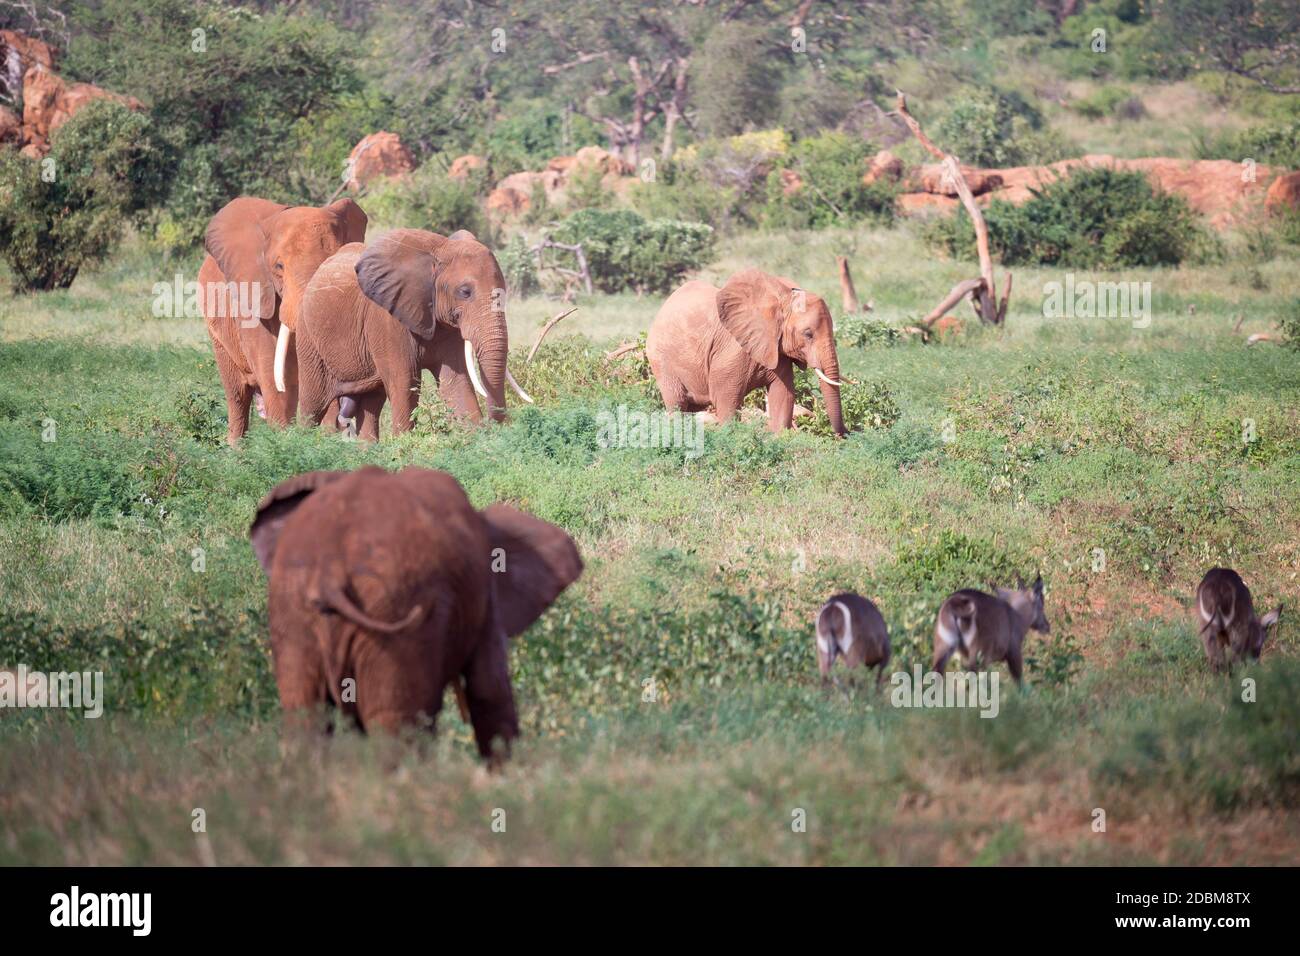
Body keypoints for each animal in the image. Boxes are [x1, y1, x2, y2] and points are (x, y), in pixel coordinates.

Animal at [199, 195, 368, 446]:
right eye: (279, 267)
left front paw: (327, 439)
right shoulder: (254, 296)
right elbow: (273, 370)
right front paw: (282, 441)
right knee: (237, 395)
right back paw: (236, 449)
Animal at [249, 465, 583, 759]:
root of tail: (331, 571)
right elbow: (489, 690)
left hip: (296, 608)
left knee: (305, 717)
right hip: (393, 612)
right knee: (395, 726)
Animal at [296, 228, 534, 441]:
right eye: (465, 292)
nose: (495, 426)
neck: (440, 250)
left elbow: (455, 382)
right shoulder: (386, 320)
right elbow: (404, 384)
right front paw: (404, 446)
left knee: (372, 404)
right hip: (308, 338)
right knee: (312, 405)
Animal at [646, 269, 846, 437]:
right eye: (808, 334)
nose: (843, 435)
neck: (781, 299)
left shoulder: (776, 348)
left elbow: (783, 394)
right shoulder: (733, 349)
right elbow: (726, 398)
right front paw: (730, 438)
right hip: (661, 360)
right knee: (677, 403)